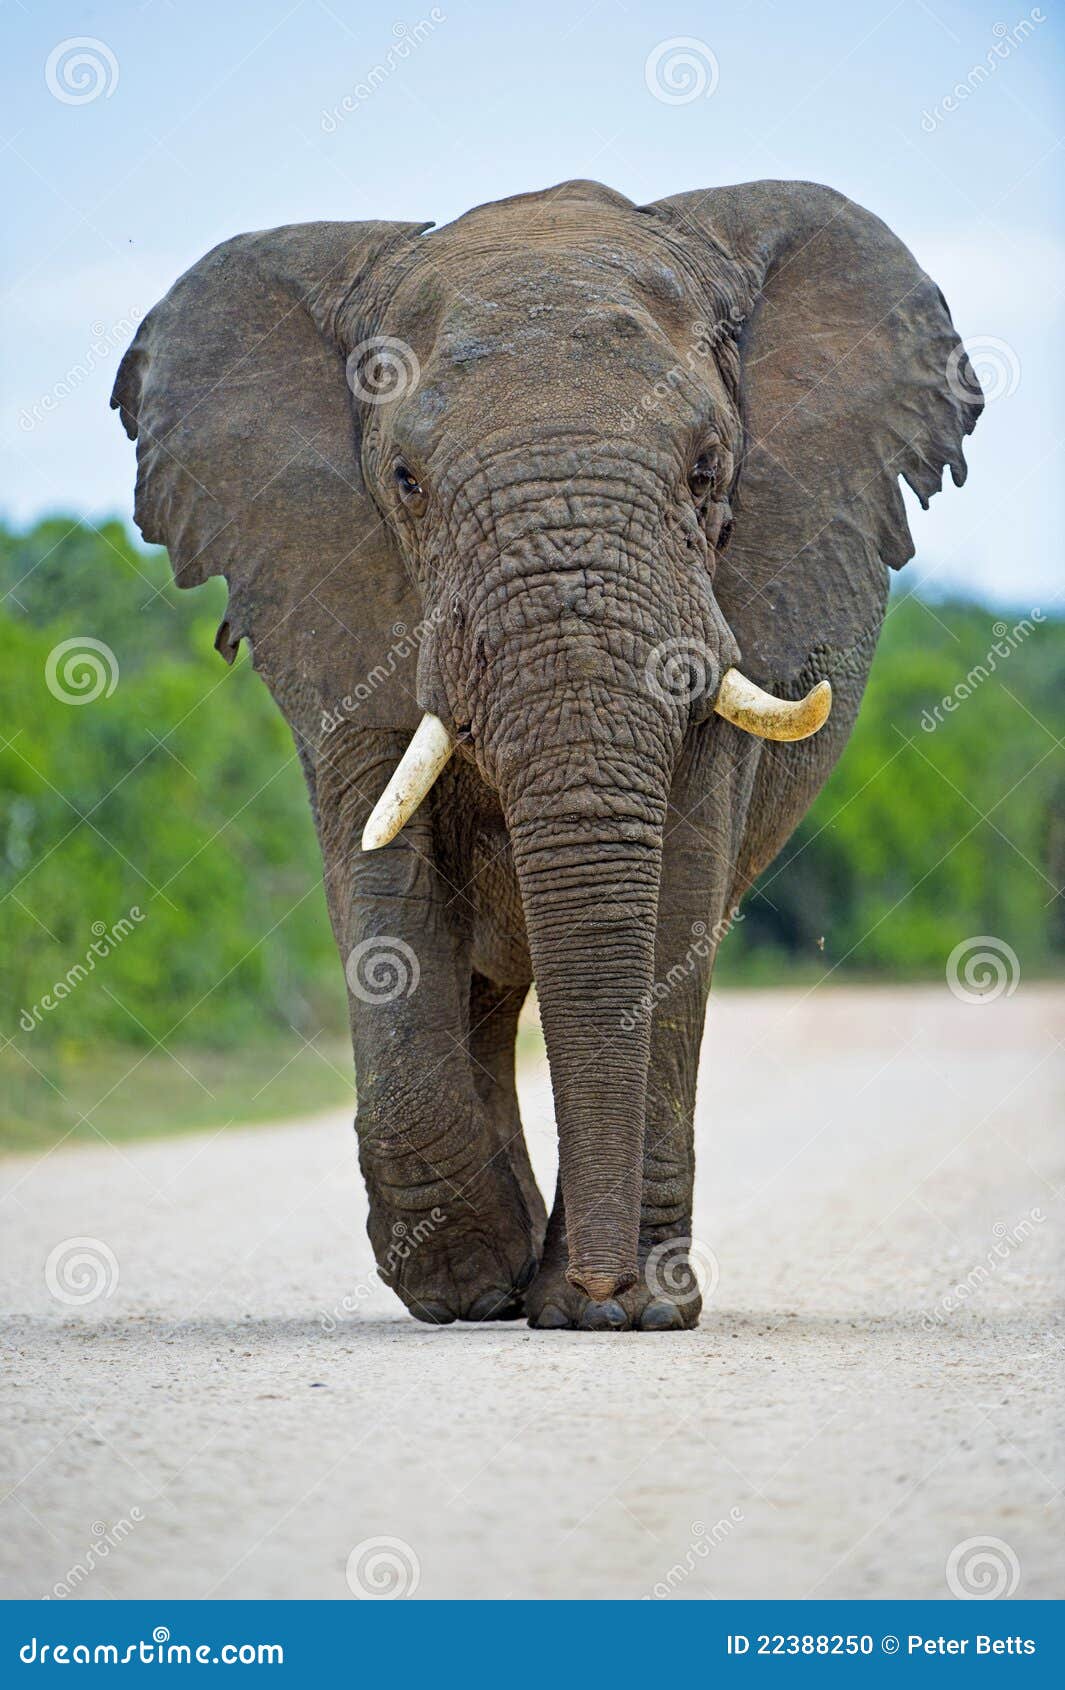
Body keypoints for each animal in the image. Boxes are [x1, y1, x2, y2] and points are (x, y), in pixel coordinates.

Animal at [111, 178, 982, 1332]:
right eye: (404, 481)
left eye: (707, 471)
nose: (604, 1285)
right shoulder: (335, 592)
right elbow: (381, 879)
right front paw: (467, 1279)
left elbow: (678, 892)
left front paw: (620, 1309)